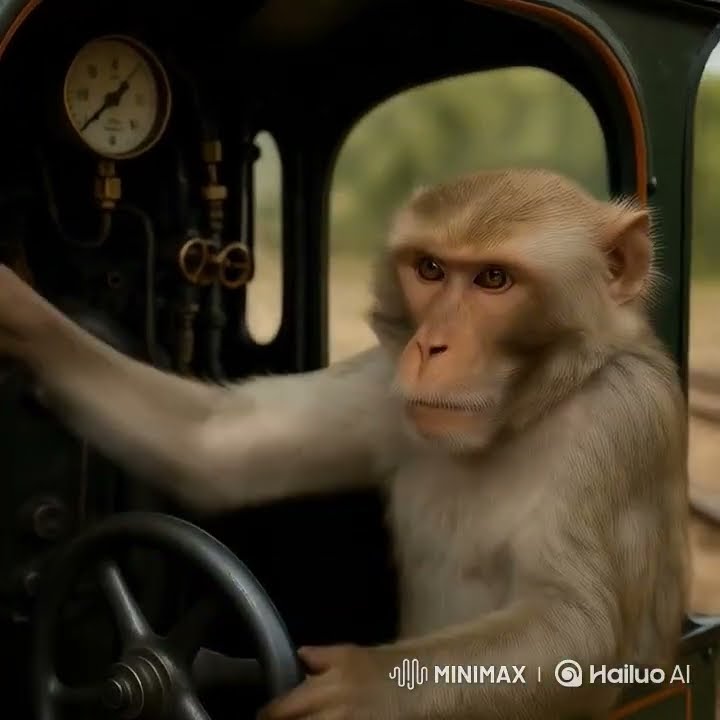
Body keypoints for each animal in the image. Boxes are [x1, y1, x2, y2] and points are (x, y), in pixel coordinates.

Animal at [0, 169, 688, 720]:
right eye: (431, 269)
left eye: (494, 279)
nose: (430, 347)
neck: (521, 415)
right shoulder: (389, 388)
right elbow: (215, 447)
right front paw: (17, 308)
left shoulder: (620, 419)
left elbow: (577, 632)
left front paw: (361, 686)